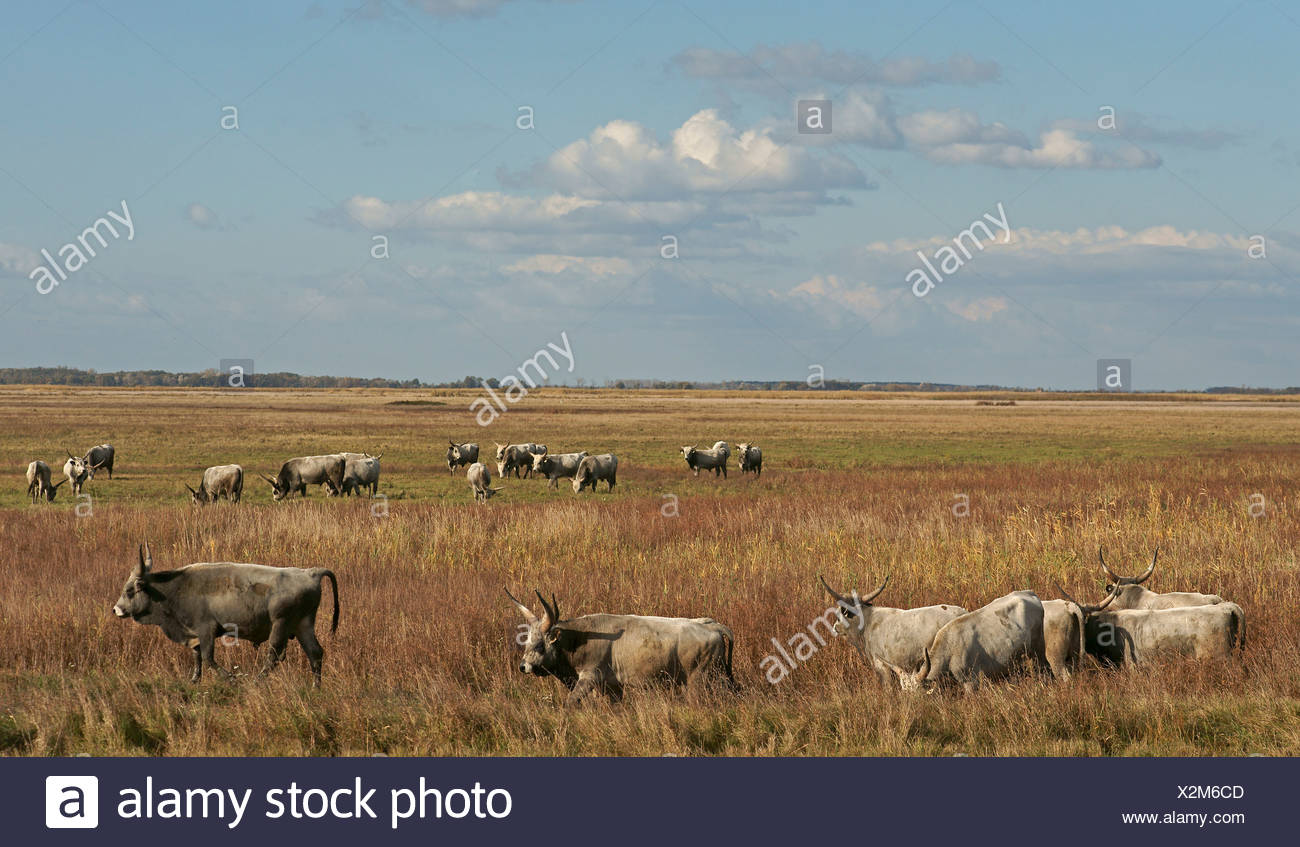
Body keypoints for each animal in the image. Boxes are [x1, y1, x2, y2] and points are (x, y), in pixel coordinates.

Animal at [112, 542, 339, 686]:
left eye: (129, 590)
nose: (116, 609)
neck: (176, 588)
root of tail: (310, 573)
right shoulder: (194, 634)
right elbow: (197, 657)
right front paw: (194, 679)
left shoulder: (206, 630)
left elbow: (208, 657)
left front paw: (230, 678)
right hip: (303, 626)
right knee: (315, 654)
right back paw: (315, 688)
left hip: (281, 626)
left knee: (273, 657)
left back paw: (256, 681)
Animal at [507, 589, 735, 704]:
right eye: (526, 642)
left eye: (540, 645)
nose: (522, 666)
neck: (579, 638)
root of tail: (710, 624)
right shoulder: (613, 686)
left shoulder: (589, 678)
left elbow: (569, 704)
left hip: (698, 681)